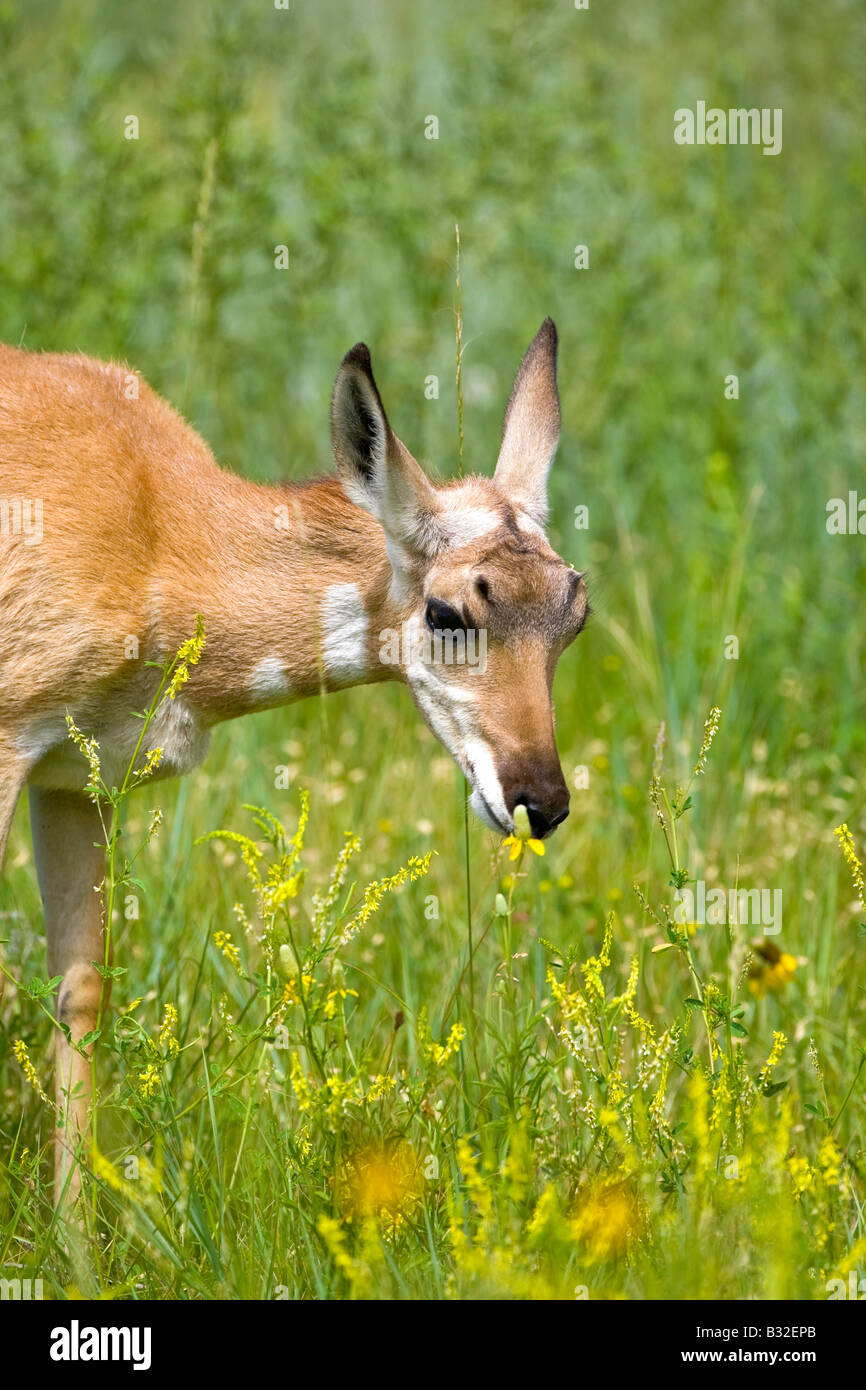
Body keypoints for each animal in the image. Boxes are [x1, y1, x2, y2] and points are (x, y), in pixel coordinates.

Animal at [0, 318, 588, 1204]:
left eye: (574, 613)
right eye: (448, 610)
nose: (539, 802)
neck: (159, 533)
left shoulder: (79, 779)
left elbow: (81, 991)